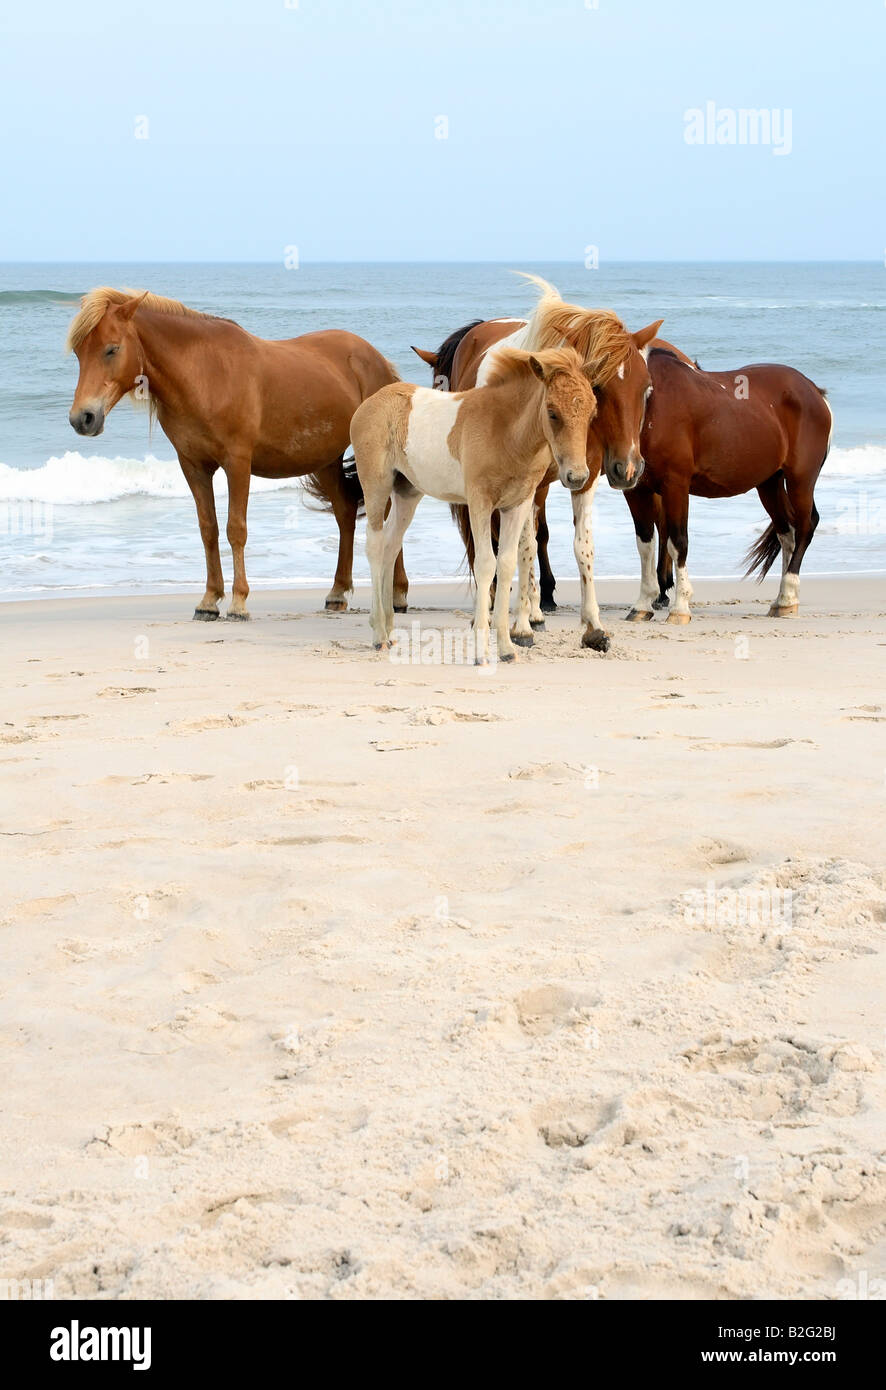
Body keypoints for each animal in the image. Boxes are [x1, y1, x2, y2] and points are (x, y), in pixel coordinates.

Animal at [66, 287, 406, 619]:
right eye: (79, 353)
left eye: (111, 349)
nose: (82, 418)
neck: (205, 375)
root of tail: (380, 362)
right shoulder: (193, 466)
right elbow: (209, 530)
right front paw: (208, 601)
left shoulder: (237, 463)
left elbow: (235, 529)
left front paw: (239, 603)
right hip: (326, 461)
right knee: (345, 514)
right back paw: (337, 593)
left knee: (389, 514)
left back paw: (397, 594)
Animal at [350, 346, 595, 663]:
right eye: (552, 412)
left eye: (592, 412)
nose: (577, 477)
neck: (505, 431)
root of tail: (368, 404)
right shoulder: (480, 502)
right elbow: (485, 564)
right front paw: (482, 653)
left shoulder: (517, 504)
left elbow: (507, 563)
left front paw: (507, 649)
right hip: (376, 486)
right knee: (375, 546)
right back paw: (378, 634)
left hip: (407, 493)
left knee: (391, 546)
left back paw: (390, 632)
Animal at [411, 275, 665, 650]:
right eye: (599, 387)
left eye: (646, 388)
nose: (628, 468)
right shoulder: (522, 485)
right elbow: (523, 548)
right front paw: (519, 627)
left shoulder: (585, 479)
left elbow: (581, 548)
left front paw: (593, 626)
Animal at [621, 349, 833, 623]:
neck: (651, 403)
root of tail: (814, 391)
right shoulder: (636, 490)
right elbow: (645, 543)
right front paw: (642, 606)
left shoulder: (675, 484)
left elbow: (677, 541)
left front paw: (680, 609)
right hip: (770, 484)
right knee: (787, 532)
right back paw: (781, 602)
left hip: (800, 479)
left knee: (805, 527)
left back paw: (788, 596)